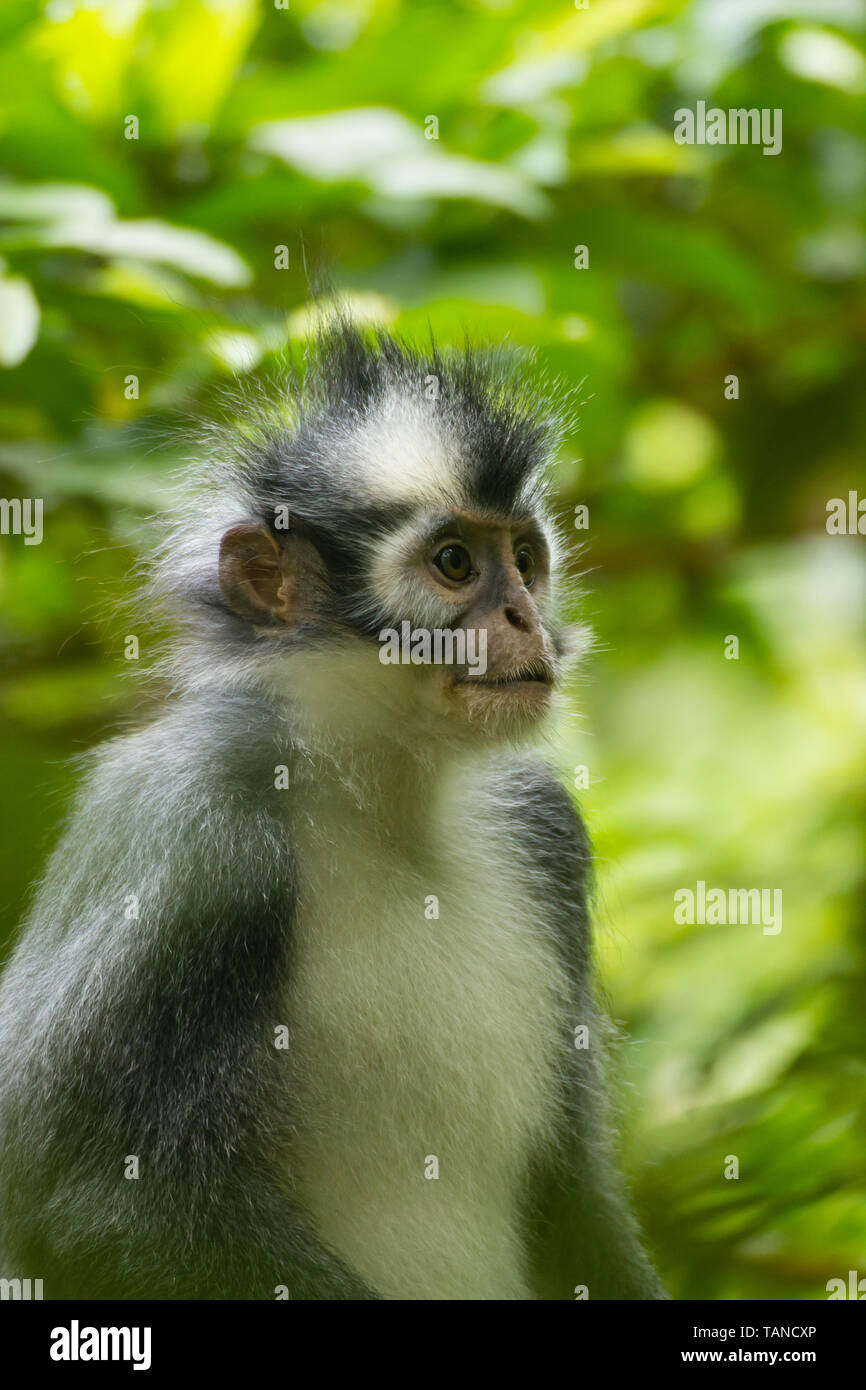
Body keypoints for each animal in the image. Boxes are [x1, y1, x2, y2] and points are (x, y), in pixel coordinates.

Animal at [0, 317, 667, 1301]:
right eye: (454, 563)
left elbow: (571, 1190)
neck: (380, 796)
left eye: (525, 560)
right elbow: (84, 1198)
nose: (523, 619)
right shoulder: (192, 827)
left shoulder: (542, 825)